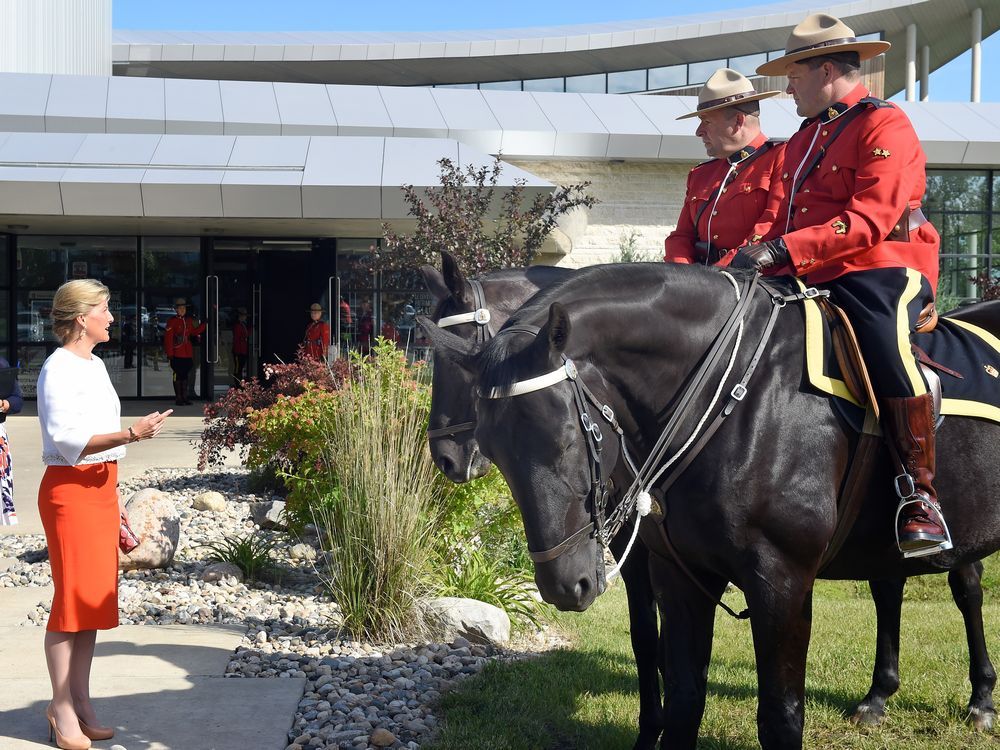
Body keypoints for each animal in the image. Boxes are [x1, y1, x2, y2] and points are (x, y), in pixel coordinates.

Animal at [421, 261, 1000, 749]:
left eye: (565, 439)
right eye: (498, 449)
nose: (446, 457)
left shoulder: (782, 582)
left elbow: (780, 717)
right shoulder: (674, 572)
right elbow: (673, 683)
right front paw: (650, 733)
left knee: (963, 590)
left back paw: (979, 700)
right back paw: (885, 696)